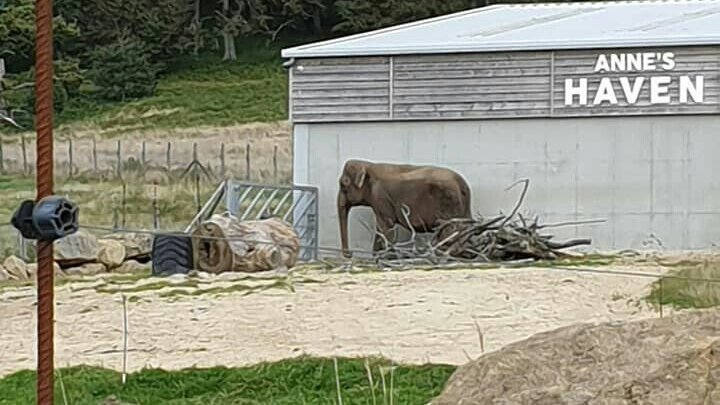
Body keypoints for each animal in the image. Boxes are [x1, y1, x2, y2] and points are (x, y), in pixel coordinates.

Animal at [337, 159, 472, 258]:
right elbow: (381, 228)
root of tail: (462, 184)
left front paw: (386, 259)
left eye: (343, 183)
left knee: (449, 229)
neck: (369, 165)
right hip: (462, 206)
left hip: (448, 202)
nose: (350, 254)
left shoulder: (381, 198)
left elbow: (386, 227)